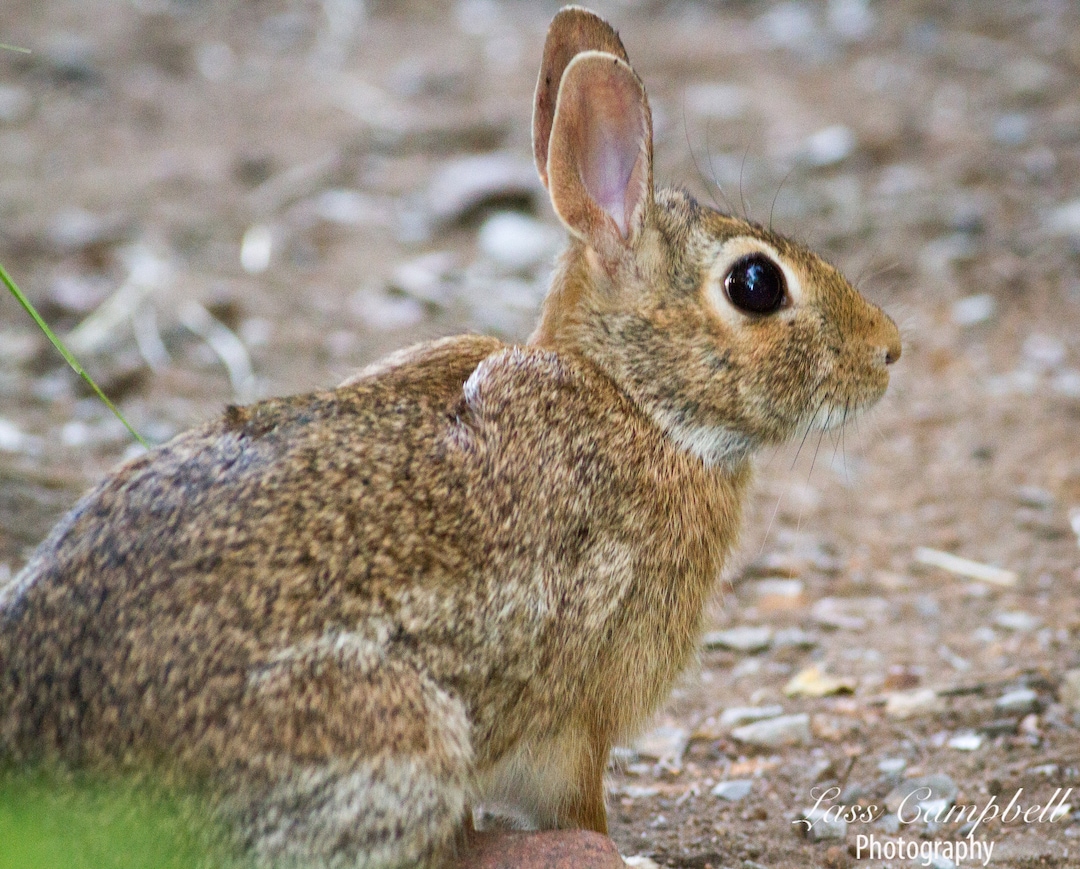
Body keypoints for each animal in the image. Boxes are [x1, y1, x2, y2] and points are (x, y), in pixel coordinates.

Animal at [0, 6, 901, 868]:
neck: (640, 403)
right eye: (754, 284)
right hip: (387, 736)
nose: (890, 349)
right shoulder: (577, 719)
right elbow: (580, 802)